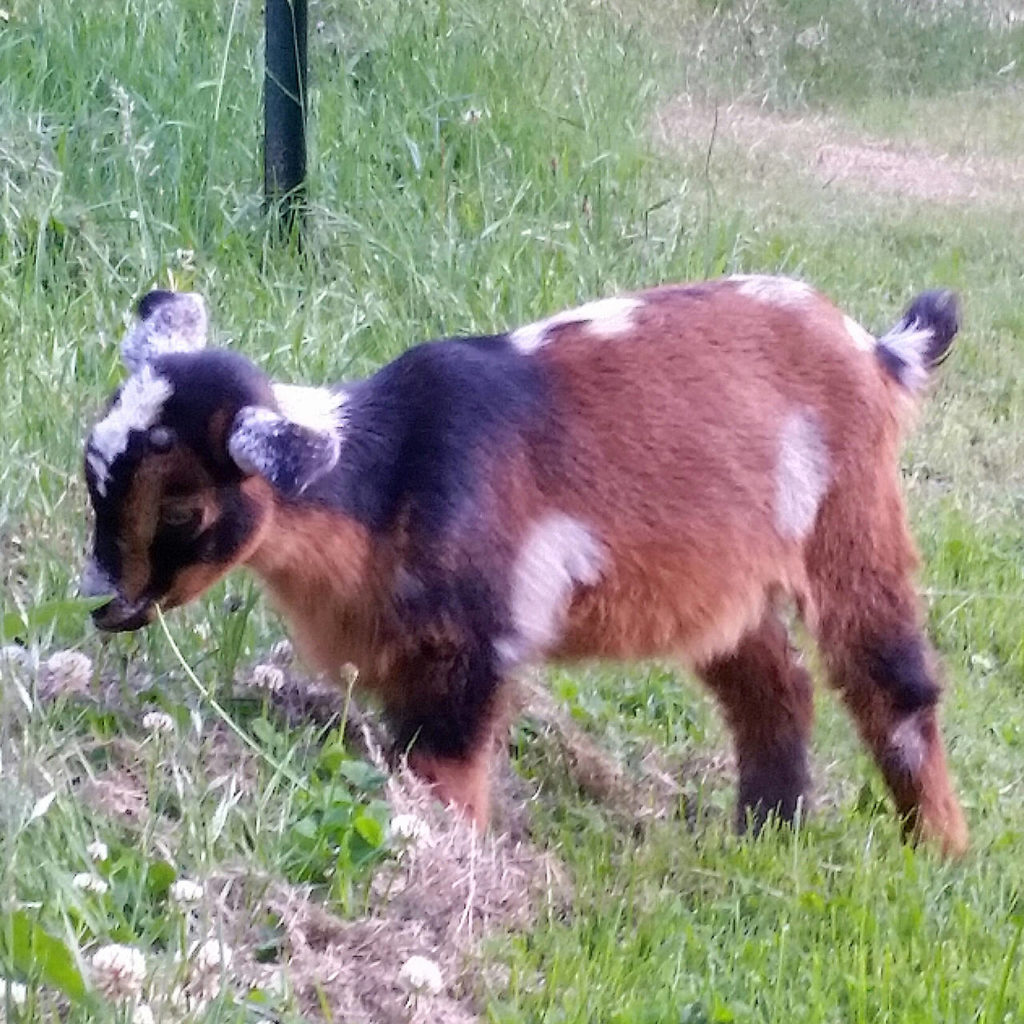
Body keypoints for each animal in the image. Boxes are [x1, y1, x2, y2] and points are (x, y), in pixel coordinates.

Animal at [81, 276, 968, 855]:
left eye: (181, 513)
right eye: (90, 470)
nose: (101, 602)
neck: (387, 476)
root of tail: (876, 350)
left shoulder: (469, 645)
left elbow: (445, 772)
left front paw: (448, 862)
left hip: (853, 516)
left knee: (892, 681)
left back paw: (937, 853)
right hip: (727, 582)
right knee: (774, 683)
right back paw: (764, 834)